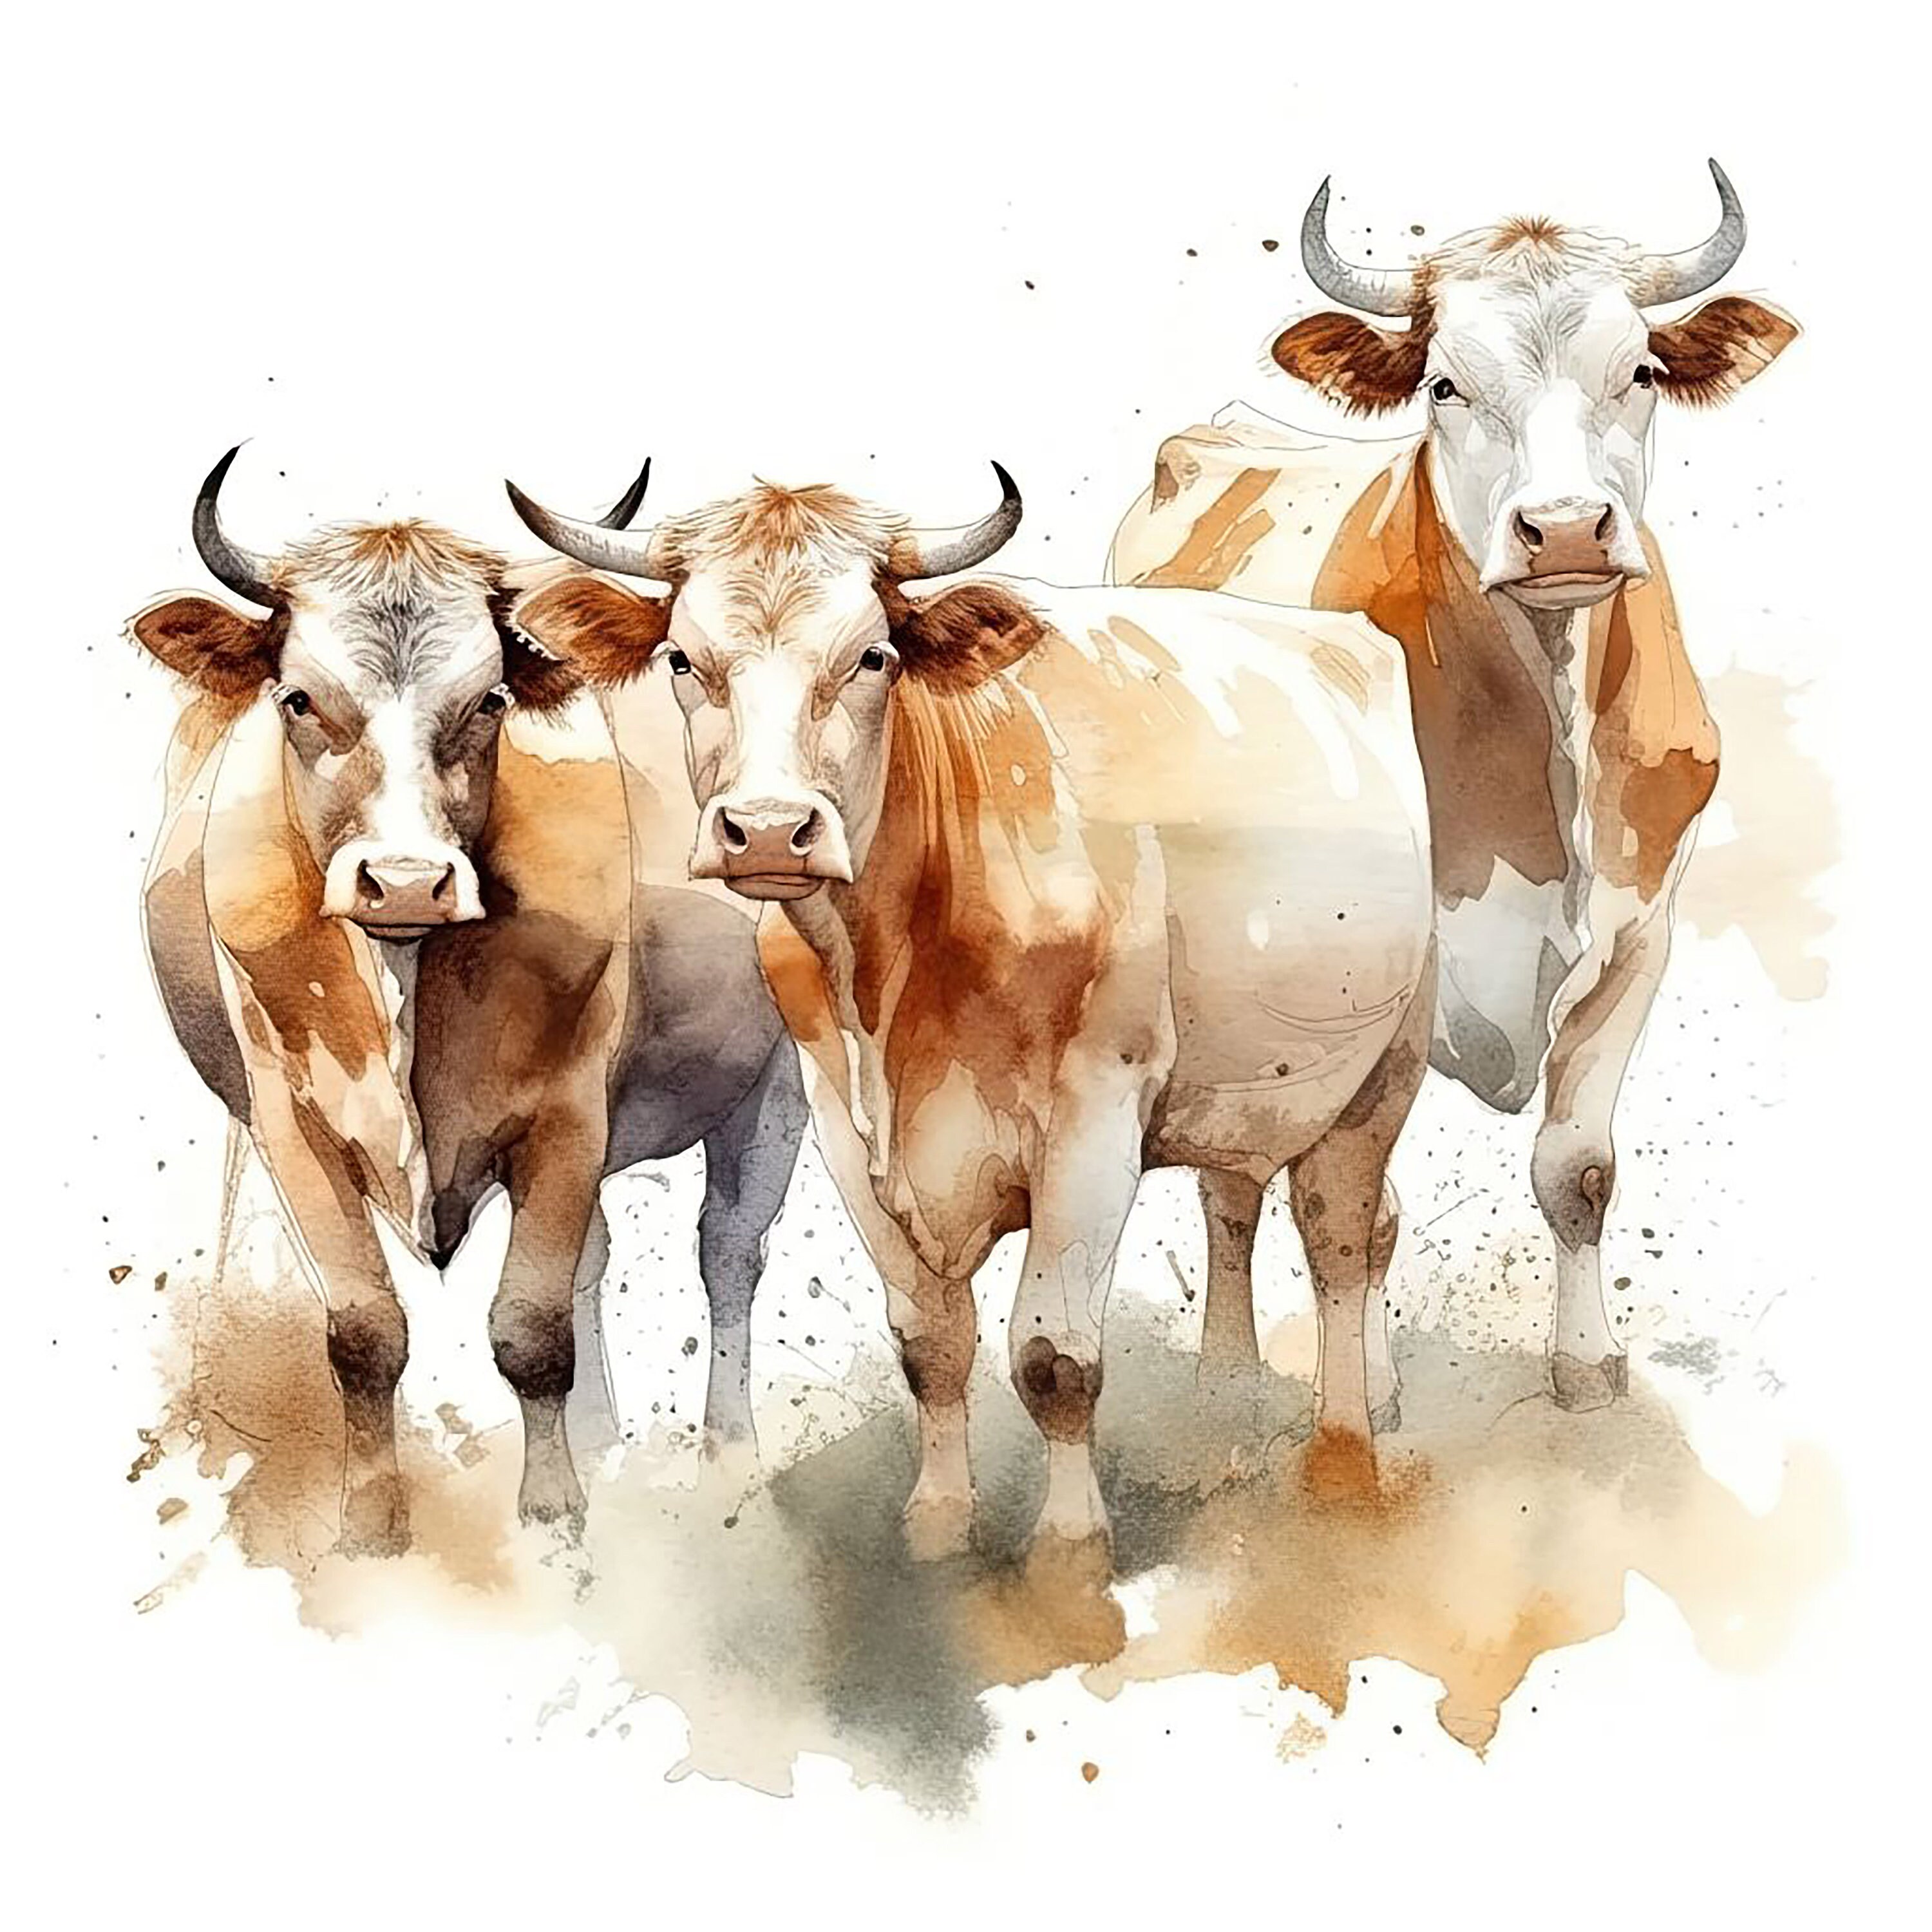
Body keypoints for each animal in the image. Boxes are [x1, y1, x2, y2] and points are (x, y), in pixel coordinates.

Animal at [133, 450, 807, 1553]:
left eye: (491, 699)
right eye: (298, 700)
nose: (405, 882)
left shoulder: (569, 1117)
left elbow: (531, 1333)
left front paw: (552, 1521)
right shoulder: (287, 1124)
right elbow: (364, 1335)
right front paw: (372, 1533)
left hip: (773, 1084)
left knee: (729, 1254)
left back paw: (730, 1463)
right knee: (603, 1260)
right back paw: (606, 1442)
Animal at [503, 464, 1435, 1558]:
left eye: (873, 655)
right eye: (685, 660)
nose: (769, 830)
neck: (898, 967)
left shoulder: (1092, 1121)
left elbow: (1055, 1357)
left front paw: (1068, 1551)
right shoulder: (844, 1125)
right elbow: (931, 1345)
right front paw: (939, 1527)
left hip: (1385, 1066)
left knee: (1343, 1239)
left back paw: (1345, 1454)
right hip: (1243, 1088)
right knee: (1241, 1206)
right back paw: (1233, 1413)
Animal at [1110, 162, 1798, 1414]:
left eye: (1640, 372)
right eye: (1444, 384)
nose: (1565, 530)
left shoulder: (1641, 939)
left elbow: (1579, 1171)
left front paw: (1587, 1370)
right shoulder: (1383, 976)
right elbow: (1361, 1208)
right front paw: (1369, 1394)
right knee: (1231, 1179)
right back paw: (1228, 1372)